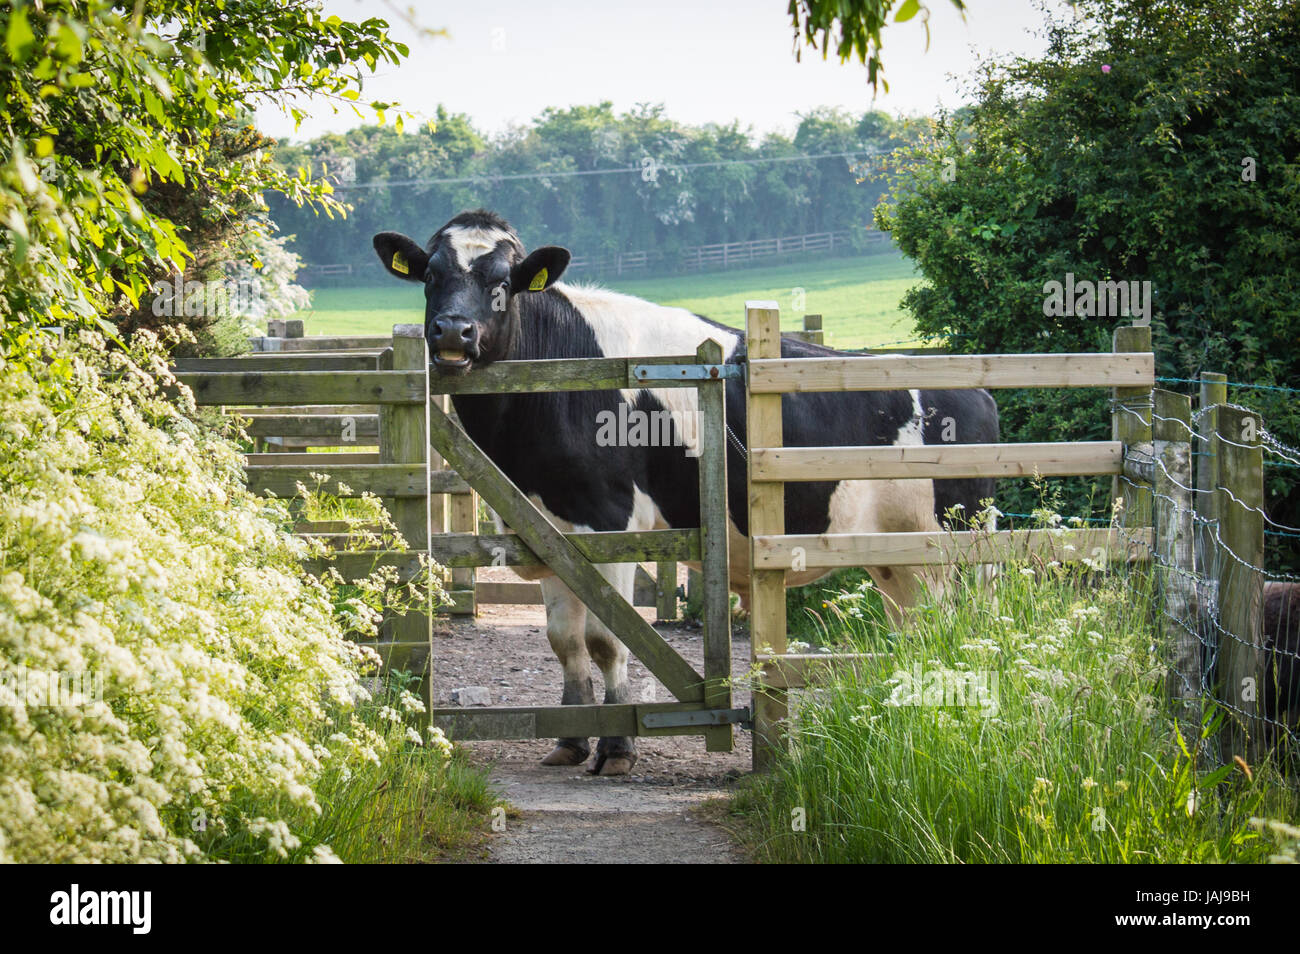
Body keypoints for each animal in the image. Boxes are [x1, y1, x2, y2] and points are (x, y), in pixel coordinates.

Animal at [373, 209, 999, 775]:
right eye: (430, 276)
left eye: (502, 283)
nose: (453, 332)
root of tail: (976, 393)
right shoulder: (547, 529)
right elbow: (564, 640)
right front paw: (570, 740)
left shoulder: (610, 523)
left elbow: (606, 640)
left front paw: (617, 748)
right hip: (895, 561)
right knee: (914, 634)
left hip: (946, 553)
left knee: (949, 633)